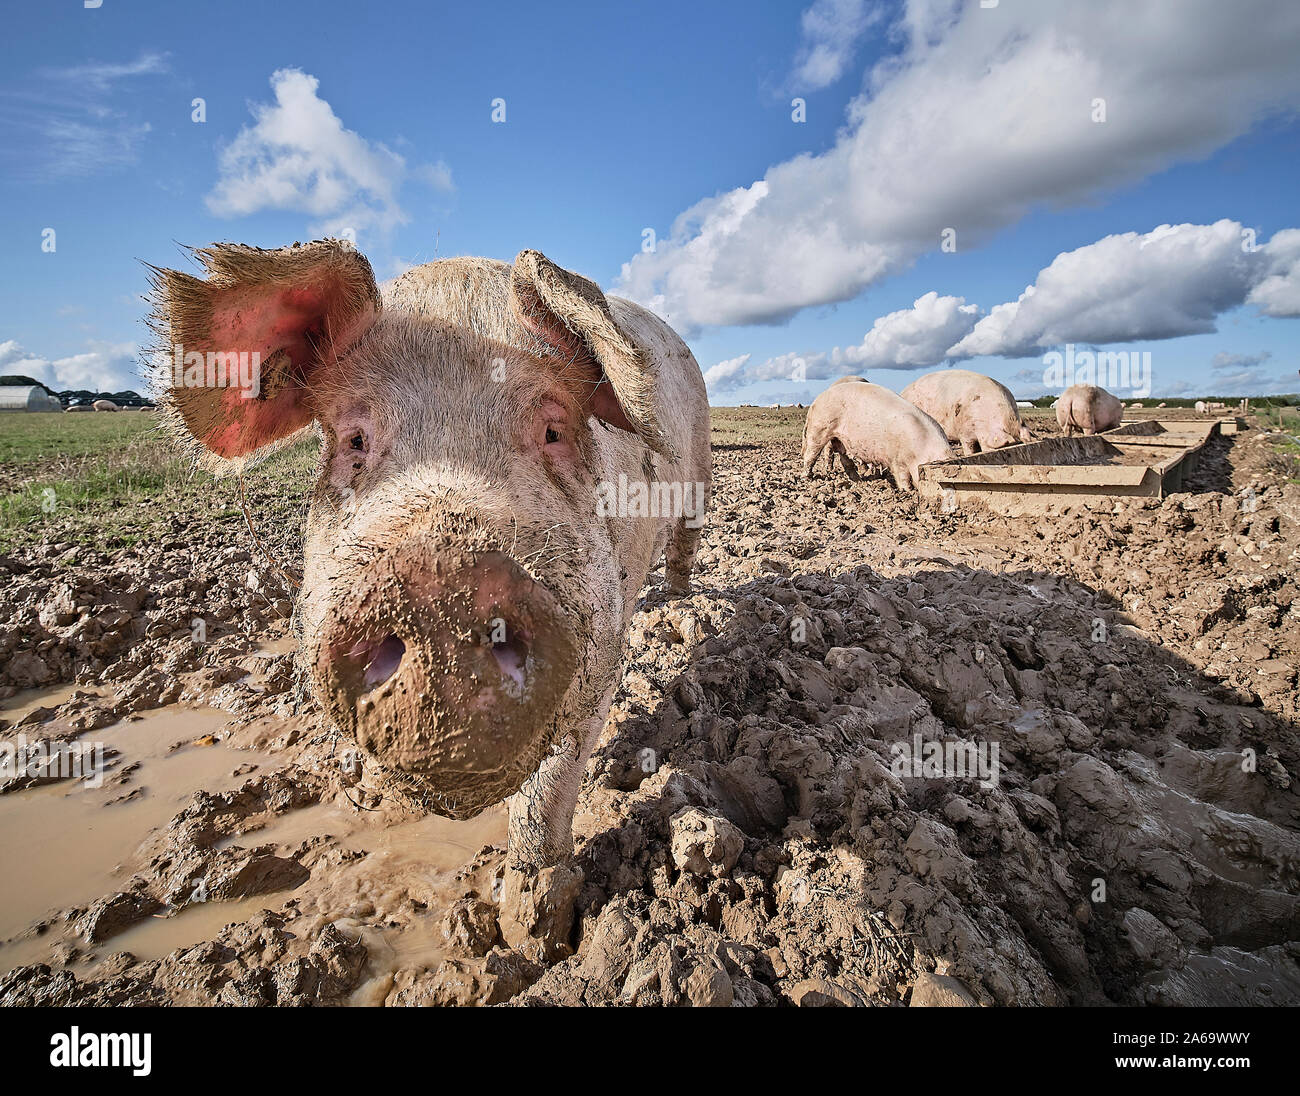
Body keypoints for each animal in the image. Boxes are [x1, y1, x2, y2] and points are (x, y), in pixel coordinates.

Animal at [149, 240, 711, 872]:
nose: (441, 576)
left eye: (552, 430)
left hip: (701, 467)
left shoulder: (605, 644)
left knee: (687, 538)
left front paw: (534, 881)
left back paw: (678, 602)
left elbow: (552, 784)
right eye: (354, 440)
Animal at [801, 378, 951, 490]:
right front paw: (907, 491)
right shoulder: (897, 460)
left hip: (839, 438)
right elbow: (902, 478)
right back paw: (806, 478)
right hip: (819, 428)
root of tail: (815, 401)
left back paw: (859, 481)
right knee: (811, 455)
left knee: (845, 459)